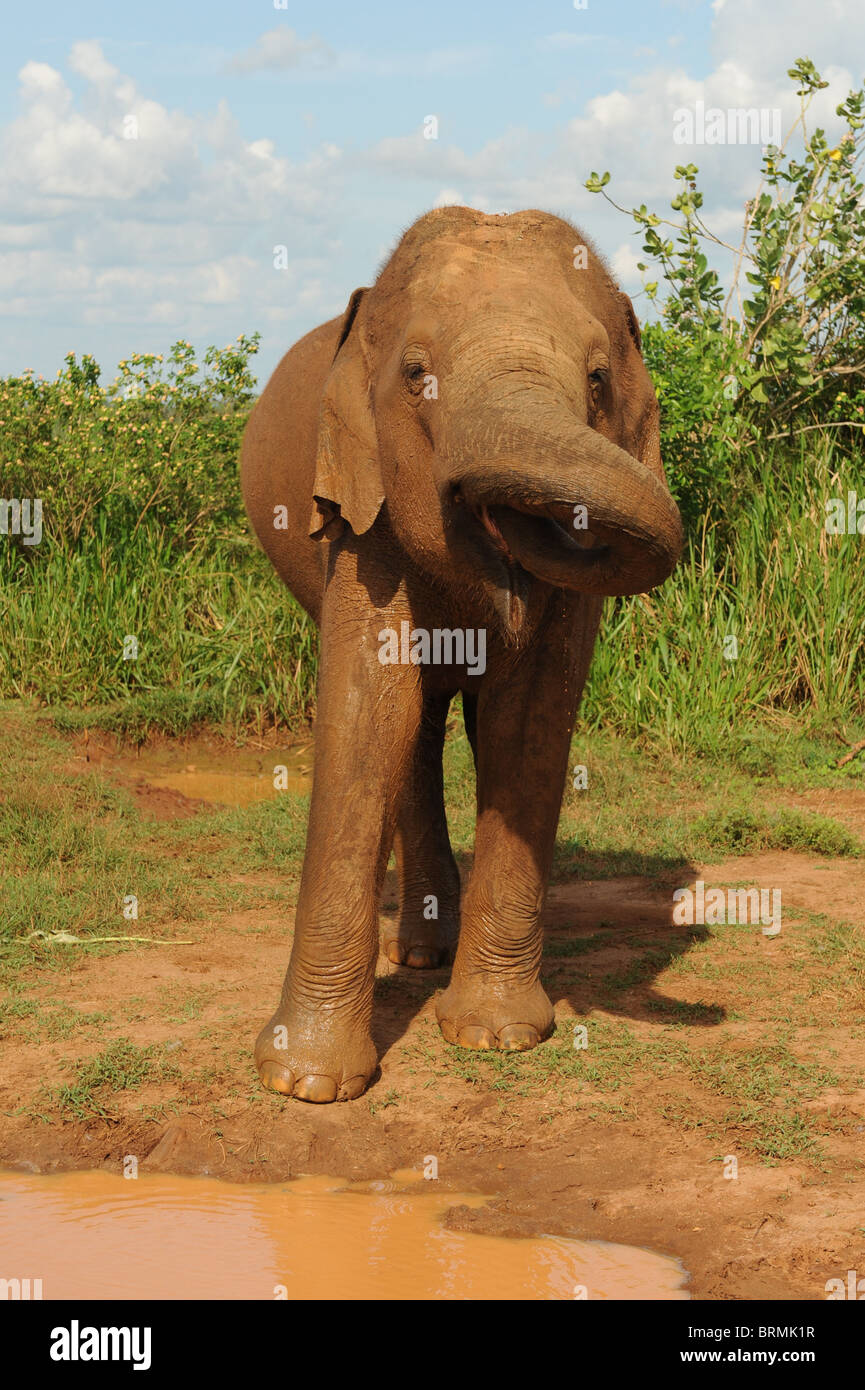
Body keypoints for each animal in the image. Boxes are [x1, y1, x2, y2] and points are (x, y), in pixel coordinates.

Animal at [240, 205, 683, 1103]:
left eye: (596, 380)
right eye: (415, 375)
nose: (502, 543)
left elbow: (527, 717)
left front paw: (495, 1036)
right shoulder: (361, 514)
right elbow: (369, 711)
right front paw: (304, 1085)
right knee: (414, 729)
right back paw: (419, 953)